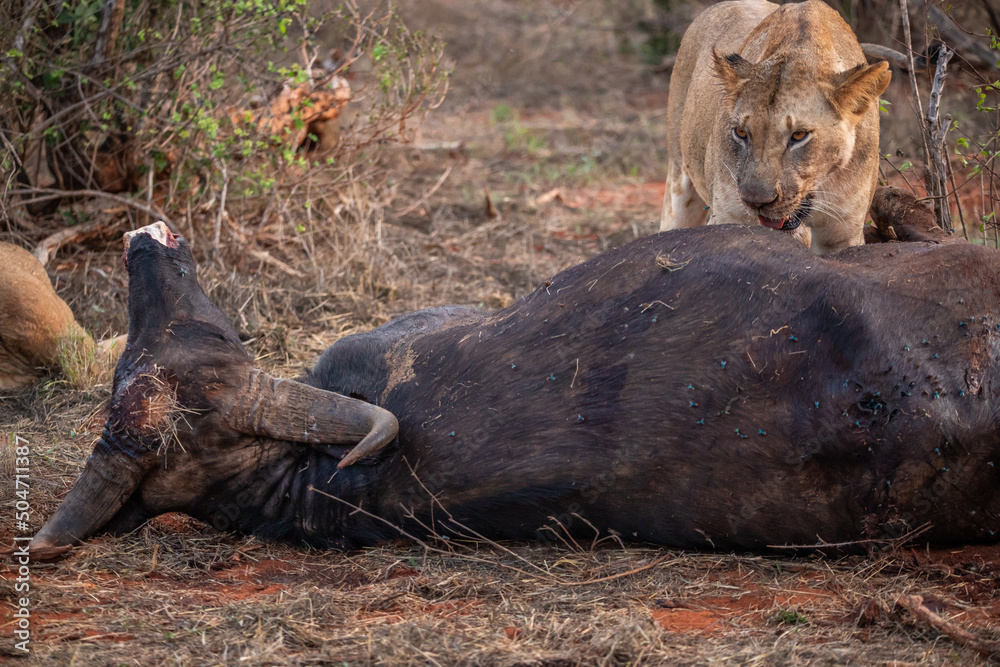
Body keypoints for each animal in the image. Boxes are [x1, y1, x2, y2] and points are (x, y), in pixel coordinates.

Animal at [661, 0, 891, 254]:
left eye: (799, 135)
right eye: (741, 133)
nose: (756, 203)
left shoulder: (844, 233)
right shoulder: (727, 216)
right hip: (678, 186)